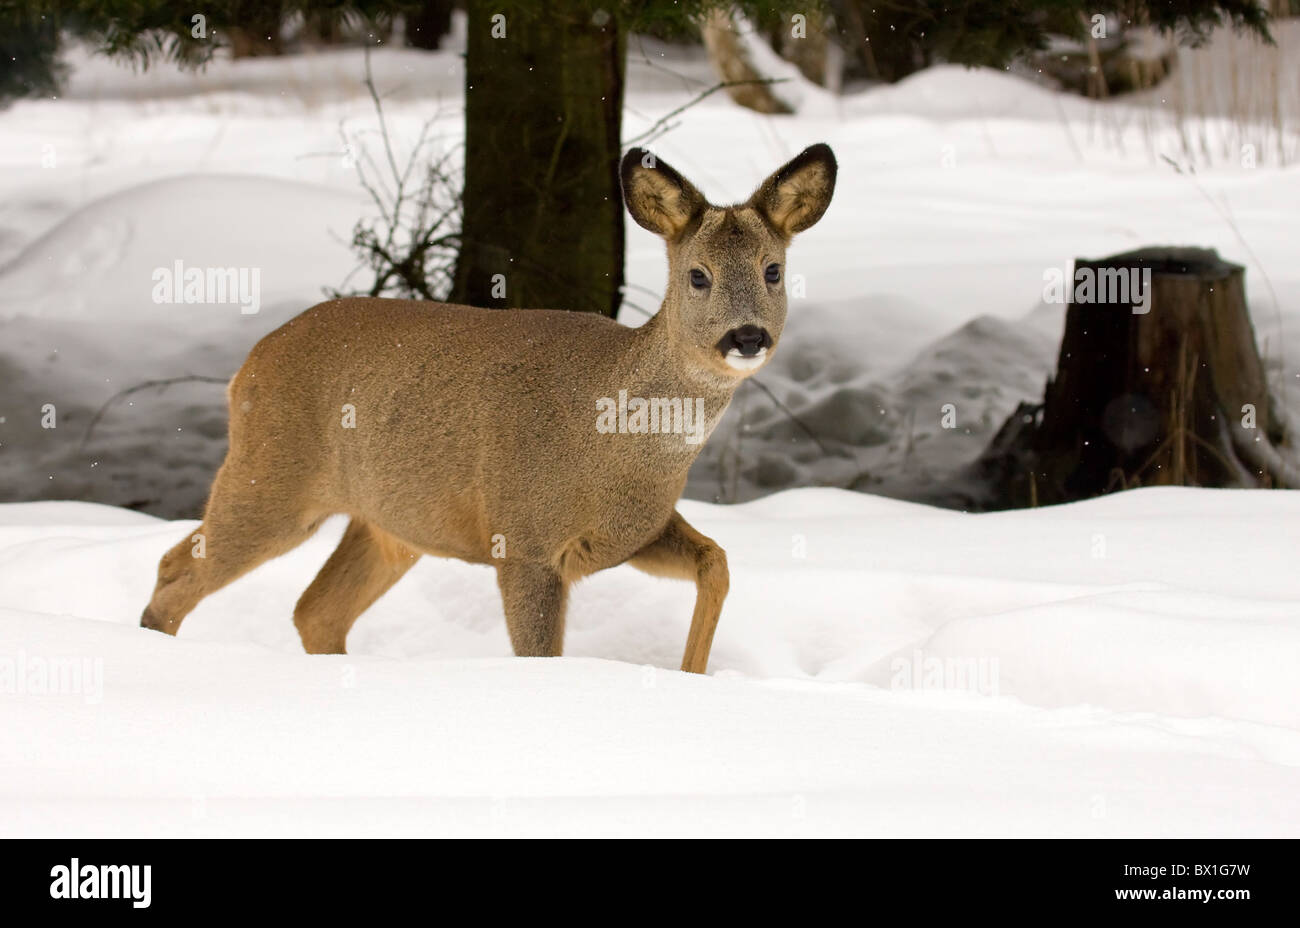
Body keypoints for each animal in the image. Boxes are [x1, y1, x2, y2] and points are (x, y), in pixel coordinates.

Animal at [140, 143, 837, 674]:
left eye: (773, 271)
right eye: (697, 276)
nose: (747, 337)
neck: (616, 449)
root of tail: (246, 367)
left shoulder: (634, 530)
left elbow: (717, 561)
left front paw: (693, 678)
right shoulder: (523, 536)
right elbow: (541, 658)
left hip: (390, 522)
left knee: (314, 609)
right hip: (273, 475)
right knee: (178, 569)